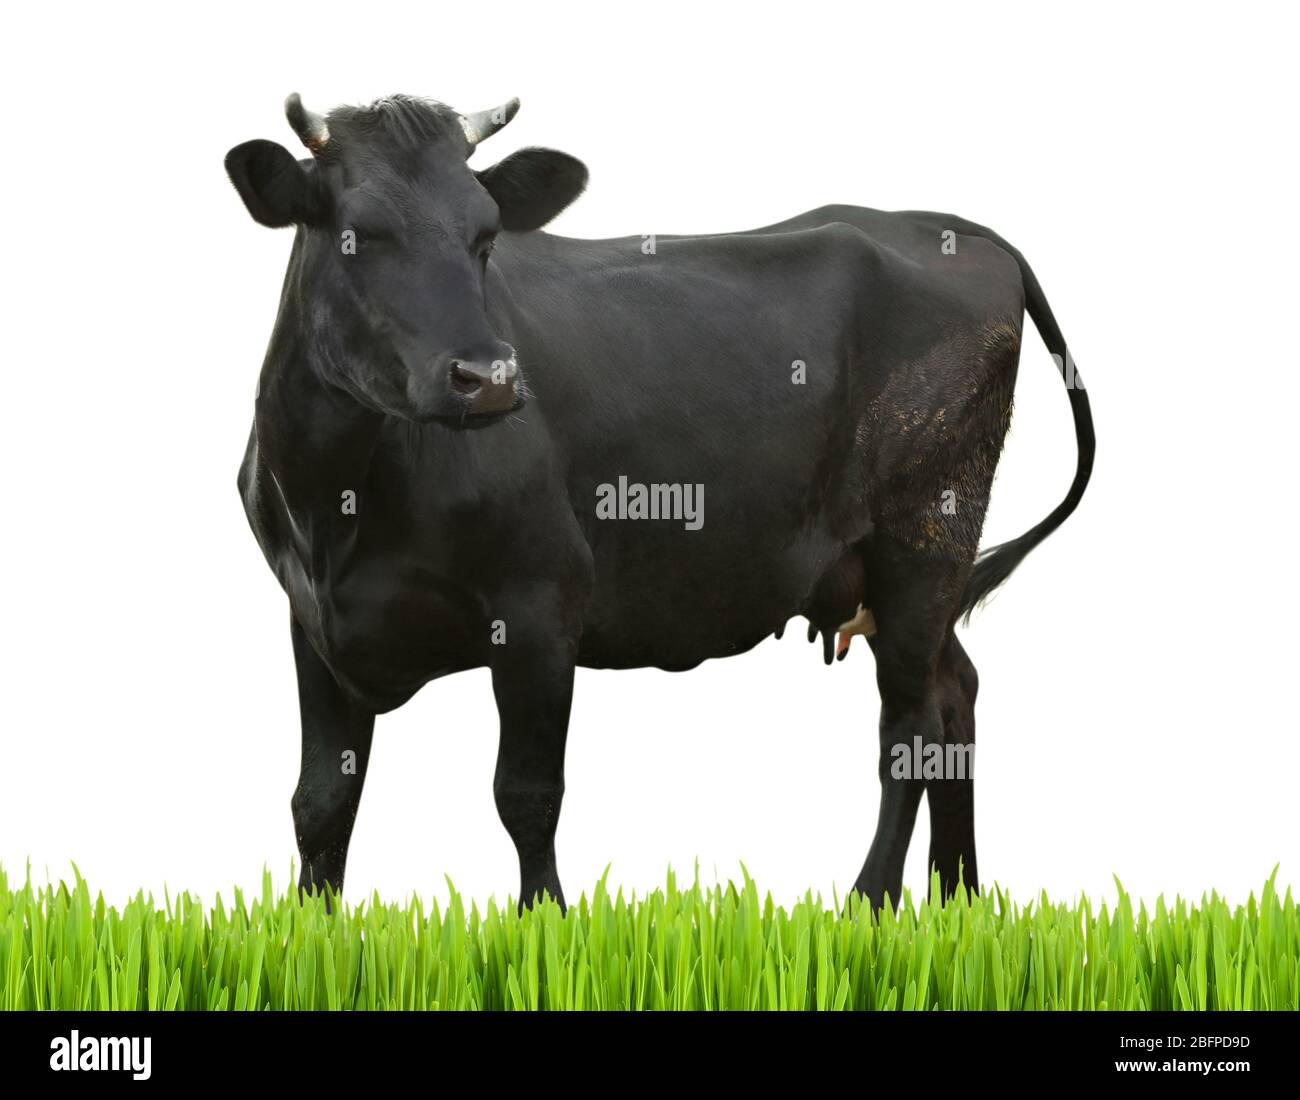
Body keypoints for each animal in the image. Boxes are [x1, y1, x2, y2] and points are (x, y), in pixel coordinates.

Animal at [225, 93, 1094, 912]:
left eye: (486, 234)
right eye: (358, 234)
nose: (490, 378)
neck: (339, 506)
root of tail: (940, 224)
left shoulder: (542, 606)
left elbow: (527, 798)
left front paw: (545, 927)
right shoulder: (311, 619)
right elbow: (322, 802)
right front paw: (314, 931)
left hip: (925, 539)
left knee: (910, 727)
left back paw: (871, 904)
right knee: (956, 695)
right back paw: (959, 901)